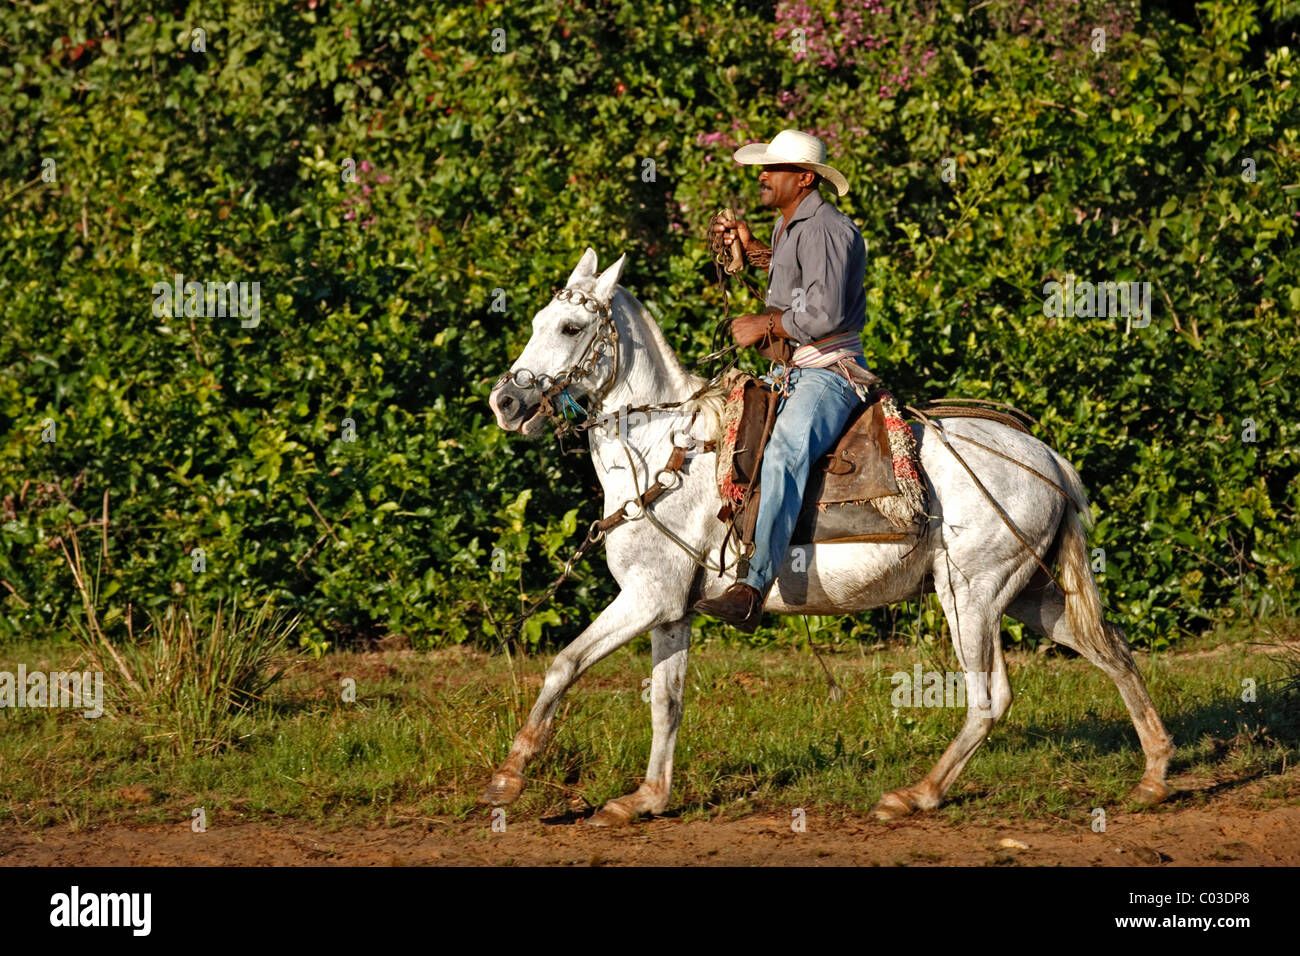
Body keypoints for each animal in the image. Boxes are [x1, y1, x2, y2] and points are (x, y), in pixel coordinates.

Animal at [484, 247, 1174, 826]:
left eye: (570, 328)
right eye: (538, 320)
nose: (506, 404)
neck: (666, 451)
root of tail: (1048, 459)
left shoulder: (646, 599)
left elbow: (565, 663)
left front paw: (511, 775)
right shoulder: (672, 609)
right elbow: (666, 702)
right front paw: (646, 799)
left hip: (972, 594)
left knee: (989, 697)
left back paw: (915, 795)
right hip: (1032, 593)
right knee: (1111, 650)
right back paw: (1155, 775)